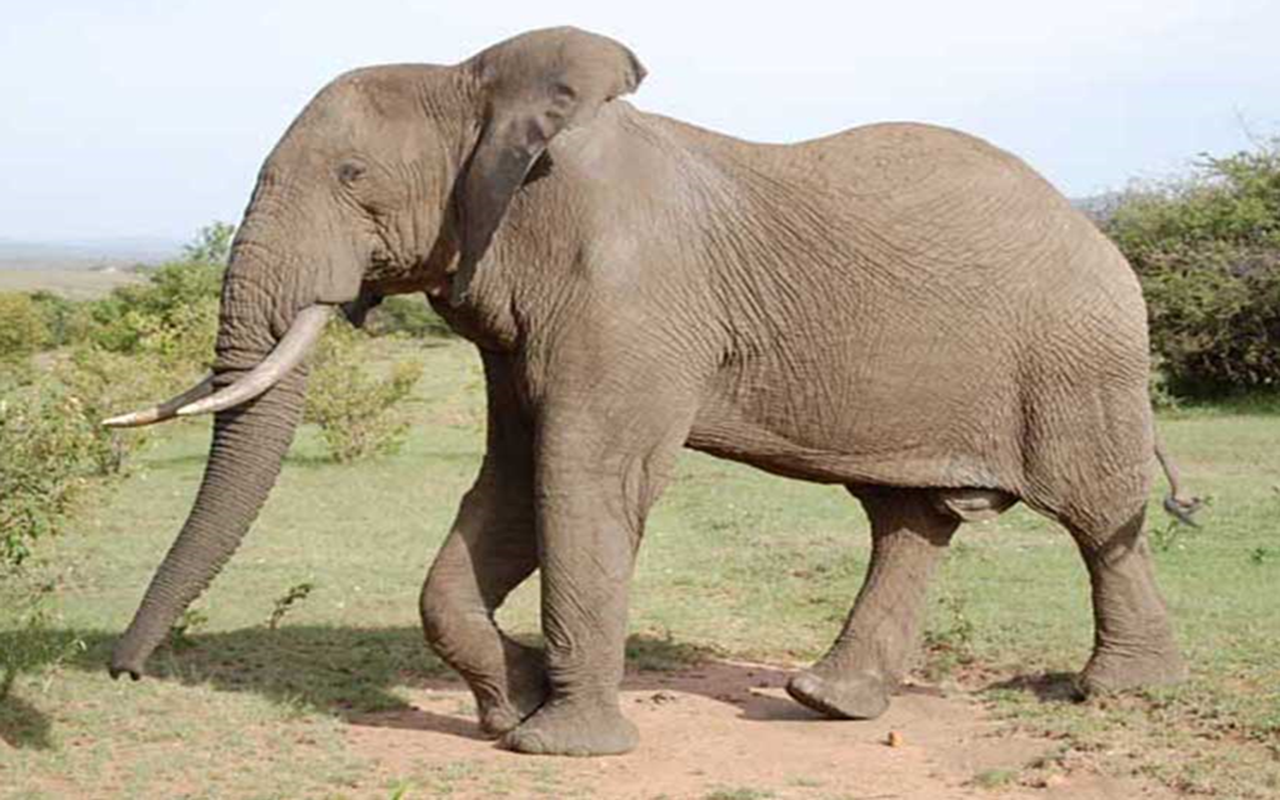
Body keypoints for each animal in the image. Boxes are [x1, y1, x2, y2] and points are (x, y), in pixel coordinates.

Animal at [105, 27, 1199, 757]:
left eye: (349, 173)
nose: (122, 669)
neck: (482, 86)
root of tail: (1102, 236)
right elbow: (509, 485)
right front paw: (511, 700)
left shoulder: (626, 291)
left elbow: (583, 474)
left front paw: (558, 744)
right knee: (907, 519)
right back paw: (825, 701)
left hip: (1077, 356)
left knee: (1096, 514)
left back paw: (1115, 691)